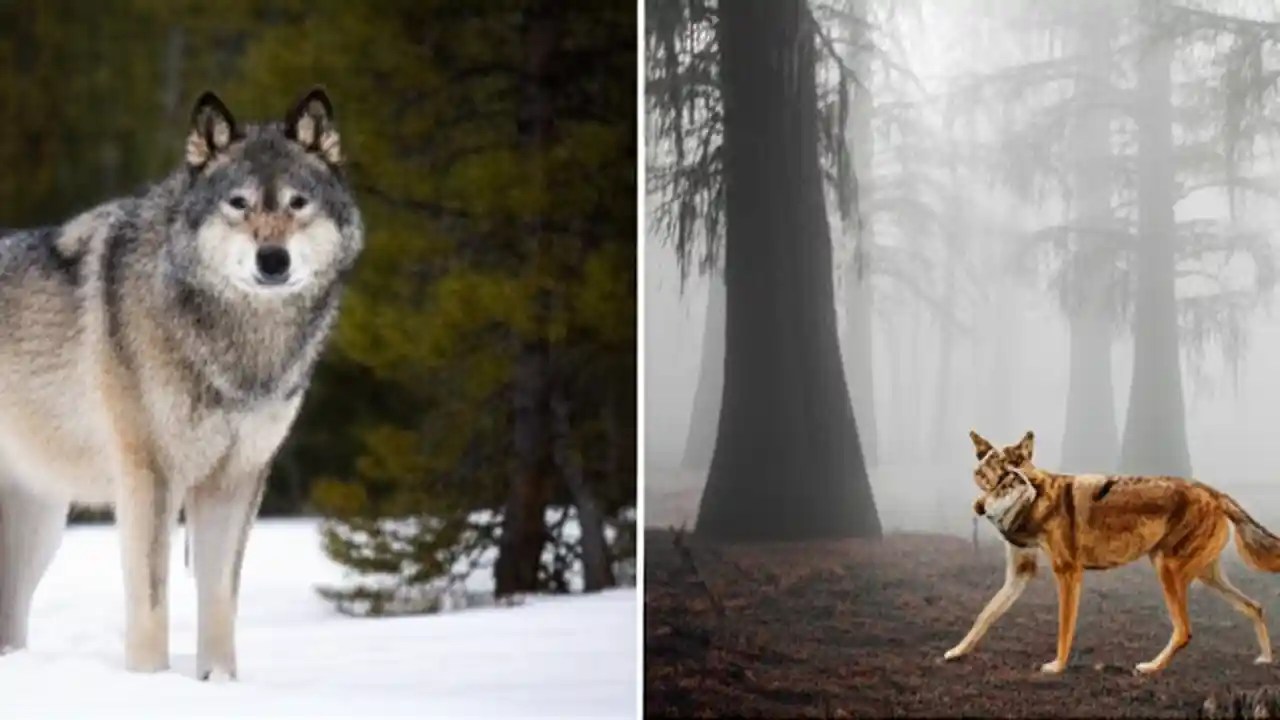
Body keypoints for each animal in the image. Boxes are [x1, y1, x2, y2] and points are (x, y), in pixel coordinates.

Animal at [0, 87, 362, 680]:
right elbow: (151, 606)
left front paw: (218, 684)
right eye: (237, 203)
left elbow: (218, 602)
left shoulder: (236, 479)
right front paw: (150, 685)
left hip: (39, 526)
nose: (273, 260)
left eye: (296, 203)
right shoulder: (150, 478)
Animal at [942, 430, 1280, 675]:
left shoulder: (1068, 573)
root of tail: (1214, 492)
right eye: (988, 477)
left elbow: (1064, 629)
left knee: (1185, 631)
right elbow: (984, 616)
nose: (979, 507)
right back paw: (1265, 658)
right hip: (1205, 577)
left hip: (1167, 570)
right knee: (1256, 607)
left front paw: (1057, 667)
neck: (1035, 504)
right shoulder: (1019, 575)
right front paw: (958, 651)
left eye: (1010, 478)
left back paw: (1151, 668)